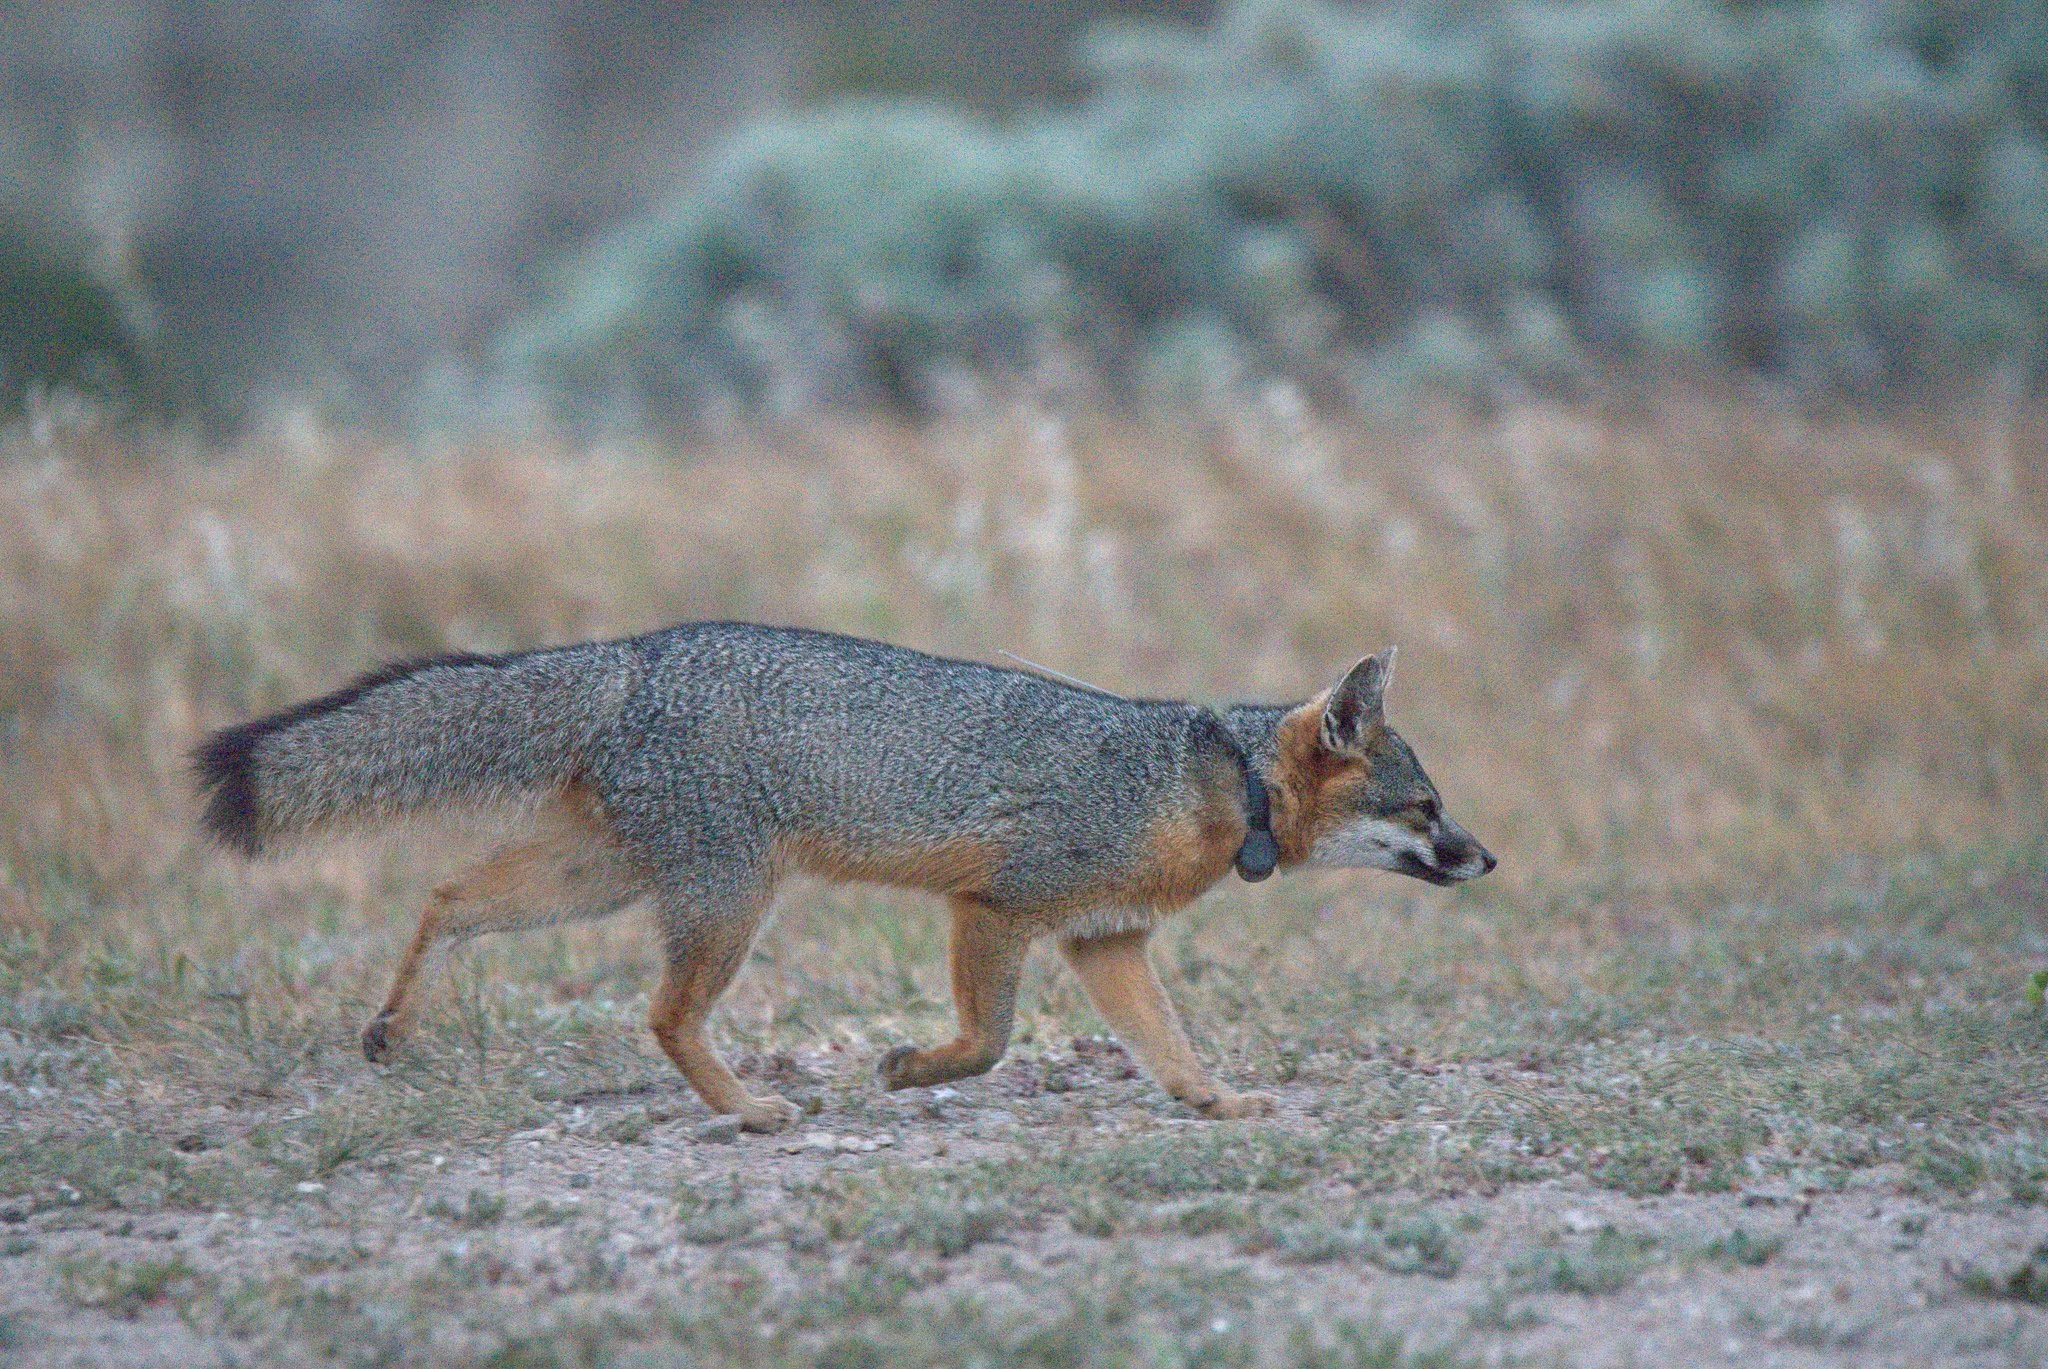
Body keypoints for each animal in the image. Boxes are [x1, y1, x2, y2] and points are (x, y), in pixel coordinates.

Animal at [194, 623, 1494, 1131]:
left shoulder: (1102, 938)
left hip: (597, 879)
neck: (1210, 780)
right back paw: (745, 1108)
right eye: (1425, 808)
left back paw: (389, 1028)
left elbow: (1166, 1044)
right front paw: (908, 1067)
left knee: (446, 897)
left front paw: (1214, 1101)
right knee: (663, 1012)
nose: (1487, 856)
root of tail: (633, 652)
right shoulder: (997, 907)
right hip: (725, 902)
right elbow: (989, 1041)